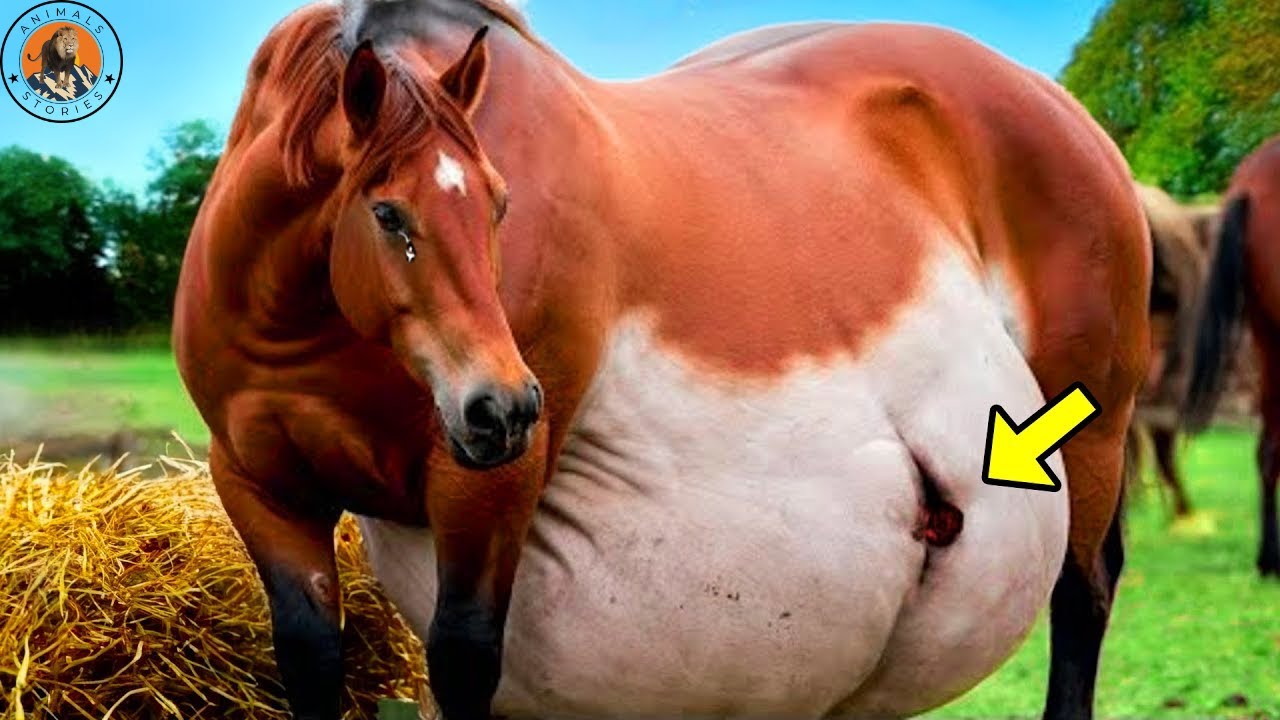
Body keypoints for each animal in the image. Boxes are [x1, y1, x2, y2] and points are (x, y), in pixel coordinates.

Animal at [173, 2, 1150, 718]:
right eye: (387, 214)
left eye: (499, 203)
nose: (503, 406)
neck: (309, 333)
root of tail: (1051, 102)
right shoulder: (263, 488)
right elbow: (310, 658)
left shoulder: (484, 489)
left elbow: (464, 658)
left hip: (1095, 433)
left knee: (1083, 594)